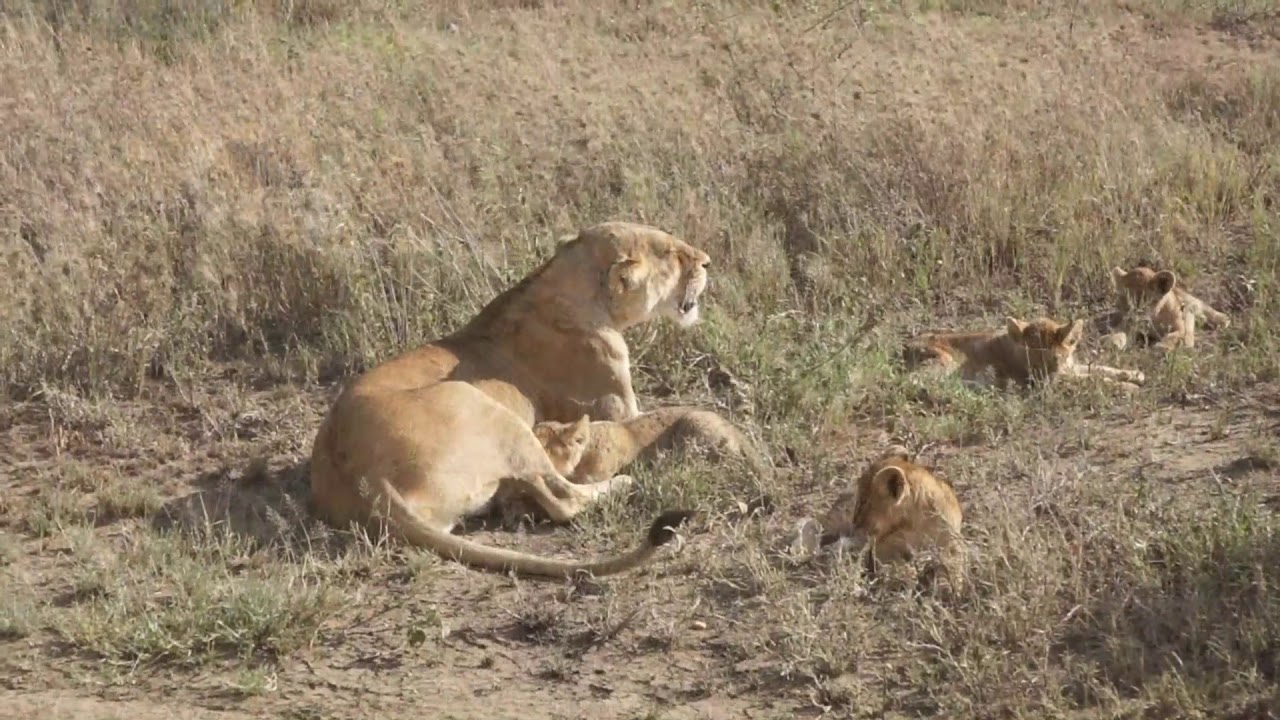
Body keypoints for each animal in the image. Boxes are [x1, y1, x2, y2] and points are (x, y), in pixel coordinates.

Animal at [308, 221, 711, 578]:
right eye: (672, 253)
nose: (707, 262)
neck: (560, 284)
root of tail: (366, 481)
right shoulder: (617, 407)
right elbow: (656, 419)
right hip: (485, 409)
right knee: (562, 498)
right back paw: (622, 484)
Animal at [901, 315, 1145, 390]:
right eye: (1033, 358)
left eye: (1055, 358)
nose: (1047, 379)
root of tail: (903, 345)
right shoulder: (1047, 380)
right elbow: (1092, 379)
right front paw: (1129, 386)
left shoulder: (1068, 368)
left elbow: (1098, 369)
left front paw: (1134, 374)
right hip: (946, 360)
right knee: (912, 381)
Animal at [1102, 265, 1230, 351]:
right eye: (1124, 297)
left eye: (1144, 299)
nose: (1131, 313)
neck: (1154, 318)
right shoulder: (1128, 325)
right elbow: (1119, 331)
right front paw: (1113, 341)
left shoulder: (1182, 328)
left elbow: (1175, 335)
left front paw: (1162, 346)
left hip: (1190, 301)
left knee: (1204, 308)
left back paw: (1223, 321)